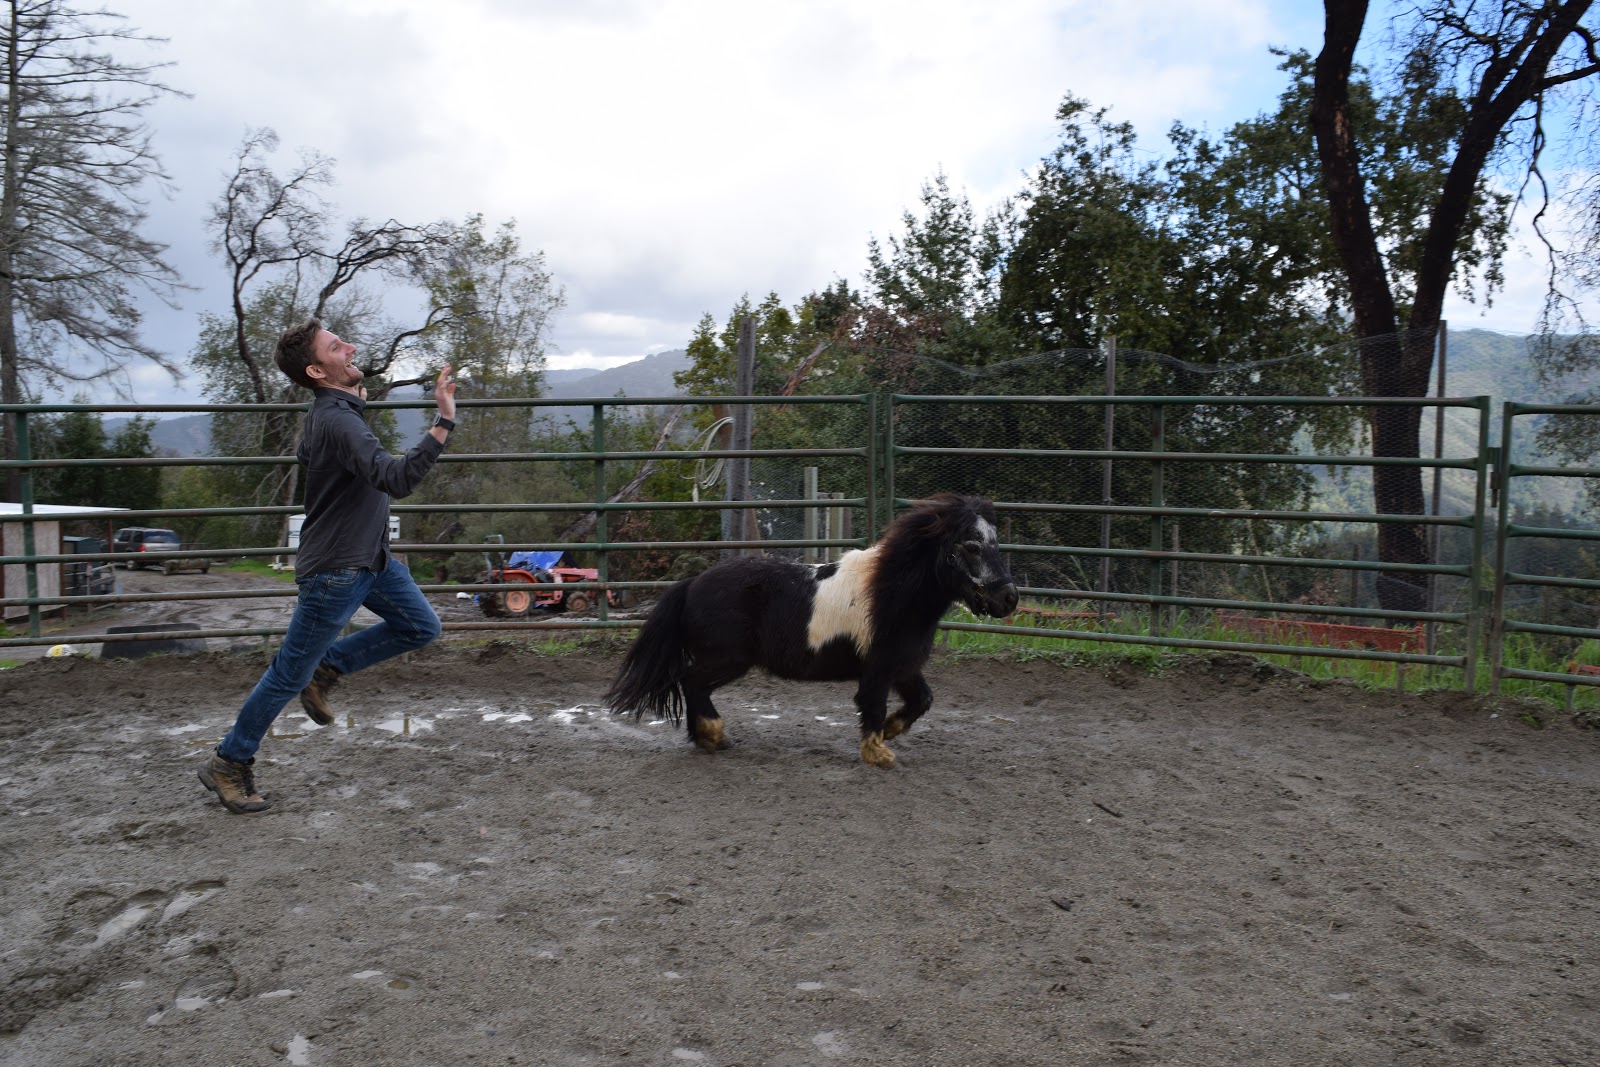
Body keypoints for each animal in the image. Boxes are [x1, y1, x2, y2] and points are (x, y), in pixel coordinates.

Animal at [603, 493, 1019, 768]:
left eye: (996, 543)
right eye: (971, 546)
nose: (1009, 599)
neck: (891, 592)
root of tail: (692, 583)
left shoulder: (904, 667)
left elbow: (922, 701)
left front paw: (889, 732)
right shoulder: (878, 668)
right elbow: (872, 704)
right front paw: (878, 752)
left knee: (693, 686)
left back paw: (708, 740)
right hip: (726, 660)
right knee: (691, 683)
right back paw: (713, 735)